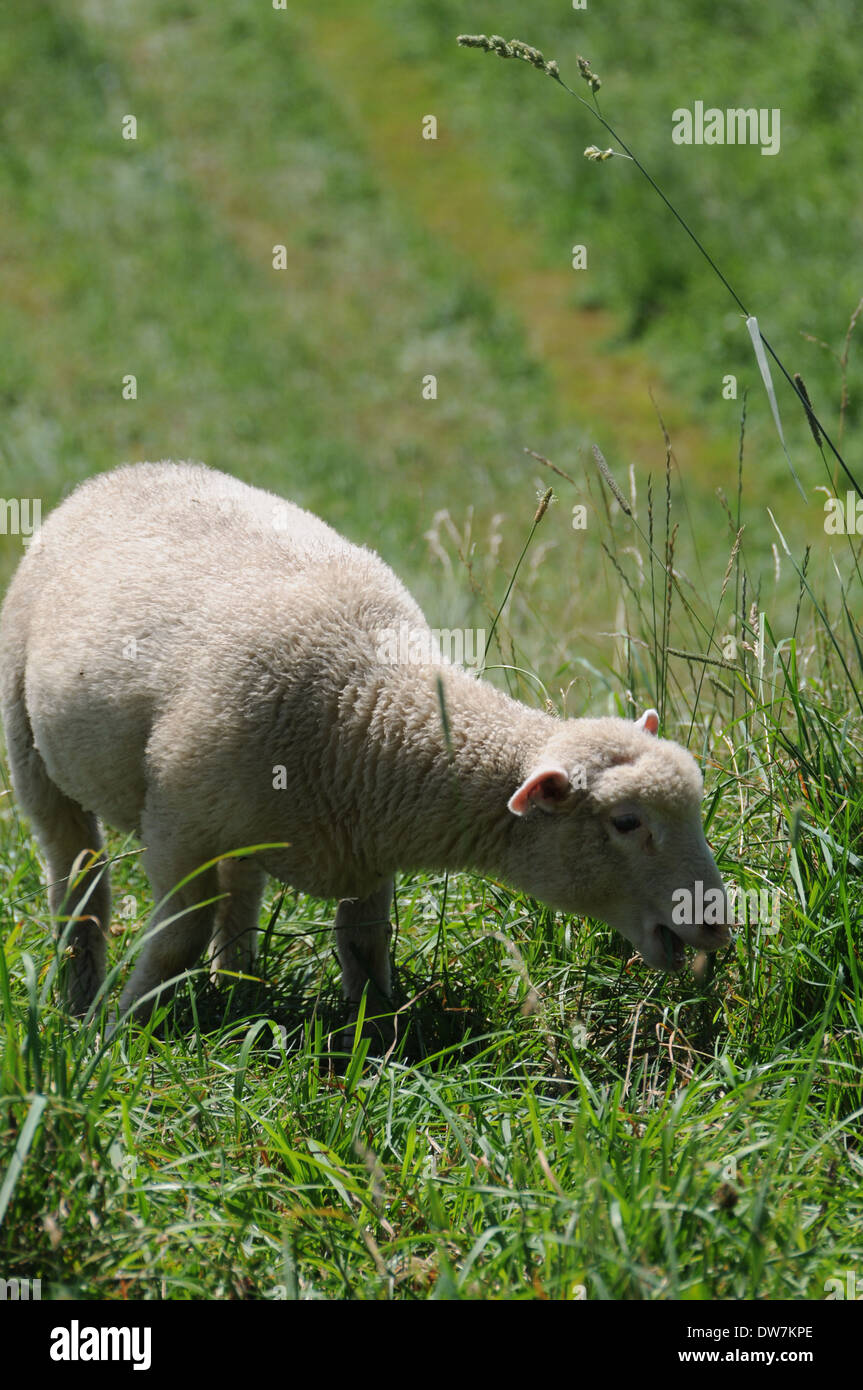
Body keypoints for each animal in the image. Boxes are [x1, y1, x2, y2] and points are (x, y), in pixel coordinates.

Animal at [0, 461, 729, 1028]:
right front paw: (122, 1030)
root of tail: (119, 474)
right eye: (626, 823)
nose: (718, 925)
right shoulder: (180, 831)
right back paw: (81, 996)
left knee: (240, 895)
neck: (372, 708)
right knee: (79, 878)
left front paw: (374, 1035)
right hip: (30, 744)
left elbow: (364, 945)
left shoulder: (364, 848)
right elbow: (175, 938)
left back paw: (235, 988)